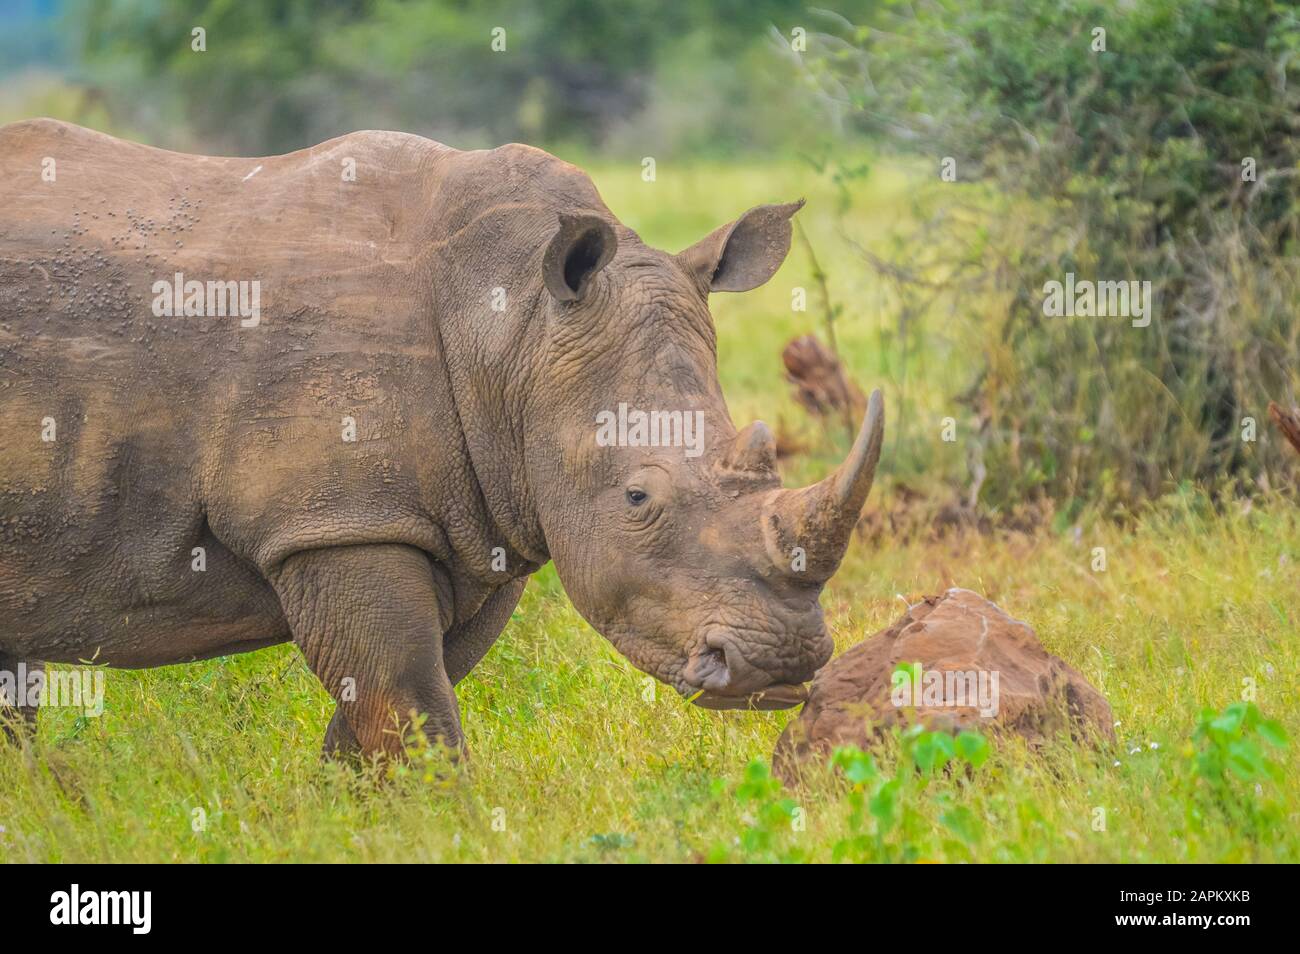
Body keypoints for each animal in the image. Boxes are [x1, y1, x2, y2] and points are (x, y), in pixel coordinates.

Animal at [0, 119, 884, 758]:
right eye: (637, 497)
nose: (781, 664)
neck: (513, 327)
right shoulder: (340, 521)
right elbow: (412, 705)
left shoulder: (483, 523)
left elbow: (398, 707)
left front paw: (349, 819)